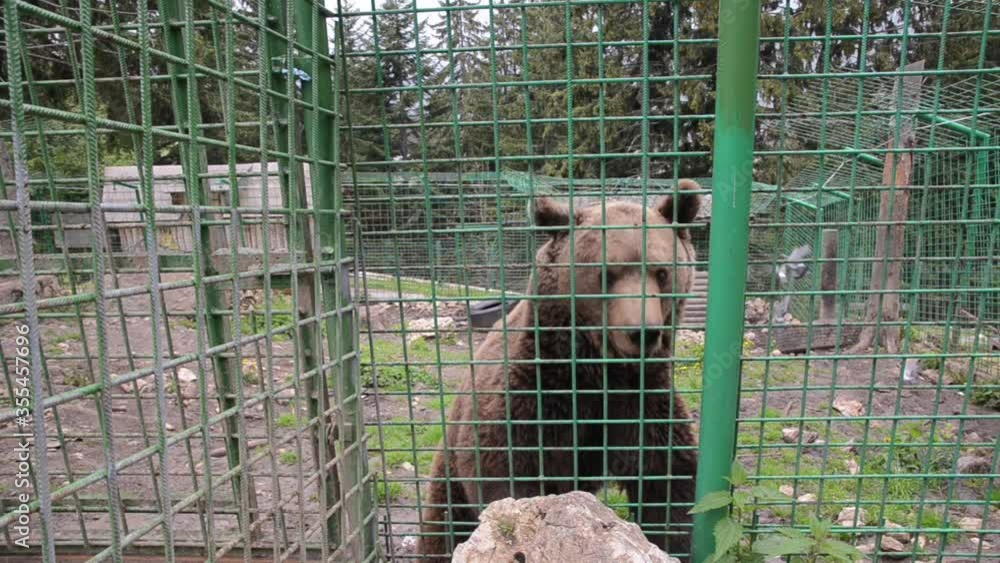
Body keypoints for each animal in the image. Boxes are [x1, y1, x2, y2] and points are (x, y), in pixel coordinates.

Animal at [417, 180, 702, 562]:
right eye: (606, 274)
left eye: (661, 272)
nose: (642, 331)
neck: (596, 370)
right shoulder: (532, 399)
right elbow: (510, 479)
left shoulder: (640, 400)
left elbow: (669, 480)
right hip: (448, 475)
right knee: (444, 524)